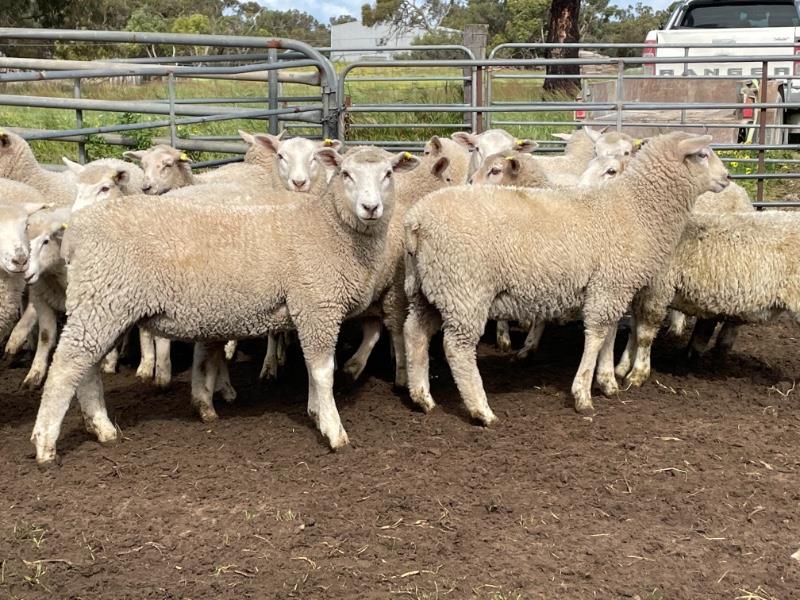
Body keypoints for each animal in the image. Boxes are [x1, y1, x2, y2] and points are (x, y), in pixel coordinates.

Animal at [30, 147, 420, 463]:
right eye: (346, 174)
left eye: (388, 174)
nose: (371, 208)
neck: (327, 229)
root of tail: (78, 230)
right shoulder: (317, 306)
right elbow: (323, 372)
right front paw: (334, 430)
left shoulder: (310, 311)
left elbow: (313, 370)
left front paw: (314, 412)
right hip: (102, 303)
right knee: (65, 368)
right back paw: (45, 442)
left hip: (105, 306)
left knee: (86, 369)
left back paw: (102, 428)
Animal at [401, 132, 729, 424]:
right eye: (702, 154)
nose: (726, 176)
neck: (637, 207)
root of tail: (417, 220)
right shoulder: (611, 283)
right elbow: (597, 335)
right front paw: (583, 393)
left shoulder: (611, 285)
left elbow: (609, 333)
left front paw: (607, 381)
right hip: (464, 289)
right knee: (457, 349)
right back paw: (481, 411)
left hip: (427, 288)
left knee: (414, 333)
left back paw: (422, 397)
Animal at [615, 210, 800, 388]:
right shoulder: (638, 296)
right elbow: (633, 331)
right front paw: (621, 369)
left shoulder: (656, 291)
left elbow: (644, 336)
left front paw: (637, 375)